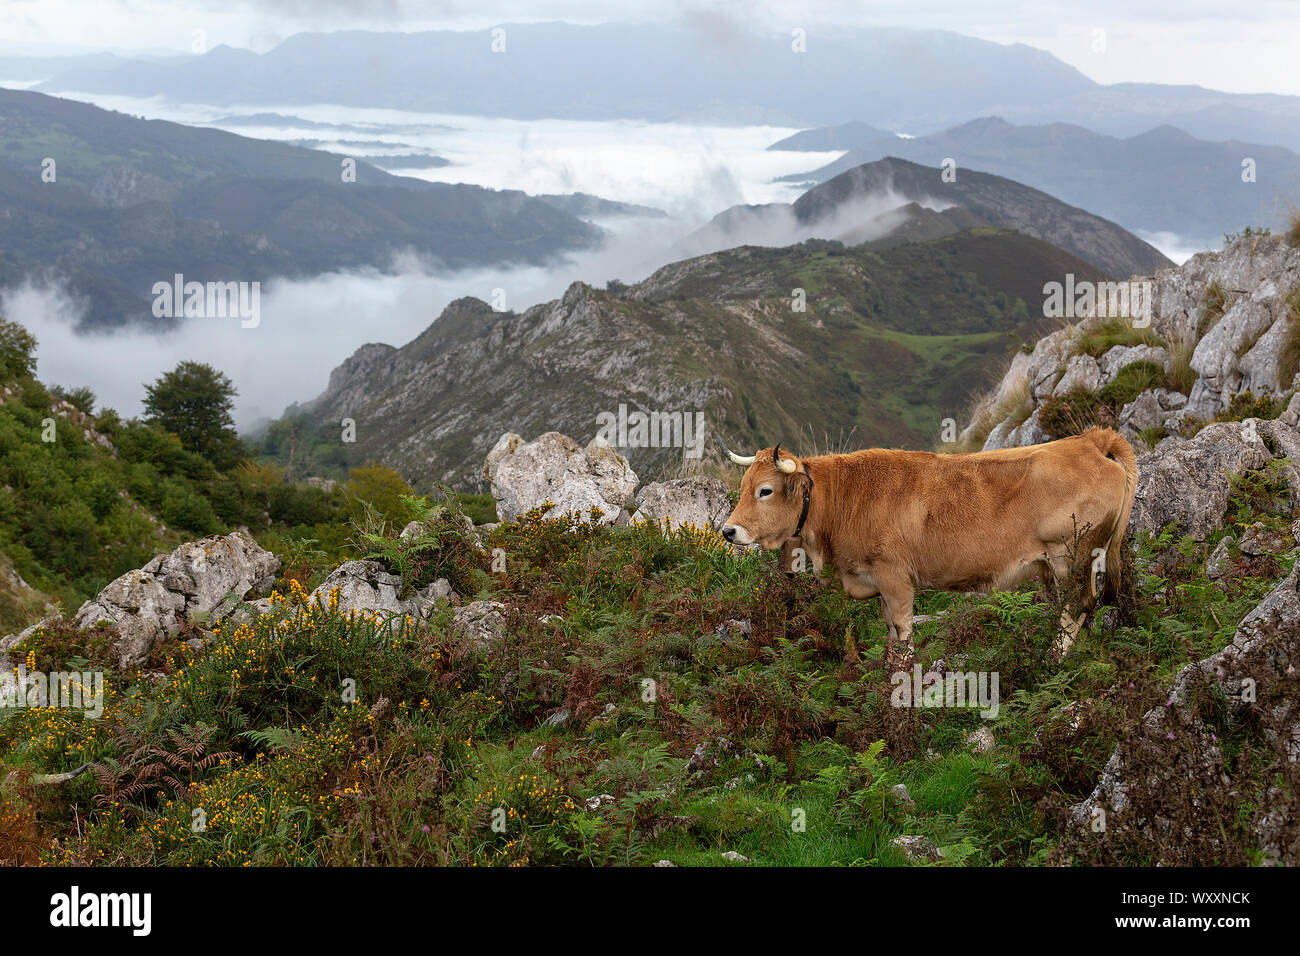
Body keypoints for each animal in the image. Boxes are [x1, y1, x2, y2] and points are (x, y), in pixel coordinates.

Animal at [718, 428, 1138, 656]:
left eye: (765, 490)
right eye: (744, 485)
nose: (728, 531)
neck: (844, 499)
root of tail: (1090, 441)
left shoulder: (895, 576)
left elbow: (904, 632)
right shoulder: (878, 583)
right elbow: (890, 630)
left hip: (1072, 554)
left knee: (1078, 604)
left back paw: (1055, 658)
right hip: (1056, 565)